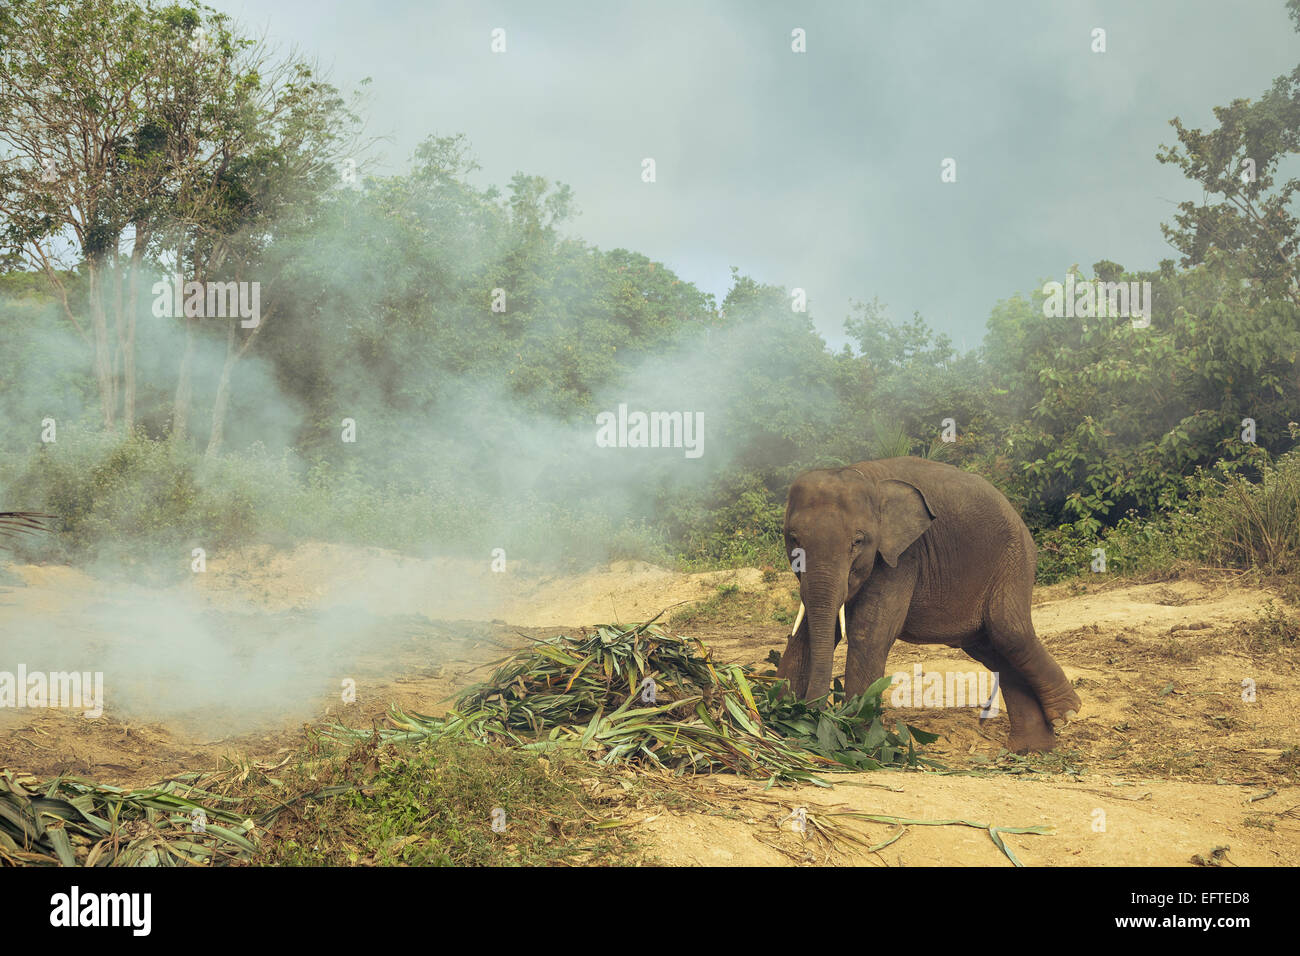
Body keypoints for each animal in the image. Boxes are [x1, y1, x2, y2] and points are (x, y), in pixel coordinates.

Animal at [775, 457, 1080, 753]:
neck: (866, 476)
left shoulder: (902, 557)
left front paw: (856, 740)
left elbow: (868, 633)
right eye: (793, 538)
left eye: (858, 541)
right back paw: (1032, 749)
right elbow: (806, 634)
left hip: (1014, 560)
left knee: (1009, 632)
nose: (815, 714)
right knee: (994, 650)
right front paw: (782, 719)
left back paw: (1066, 713)